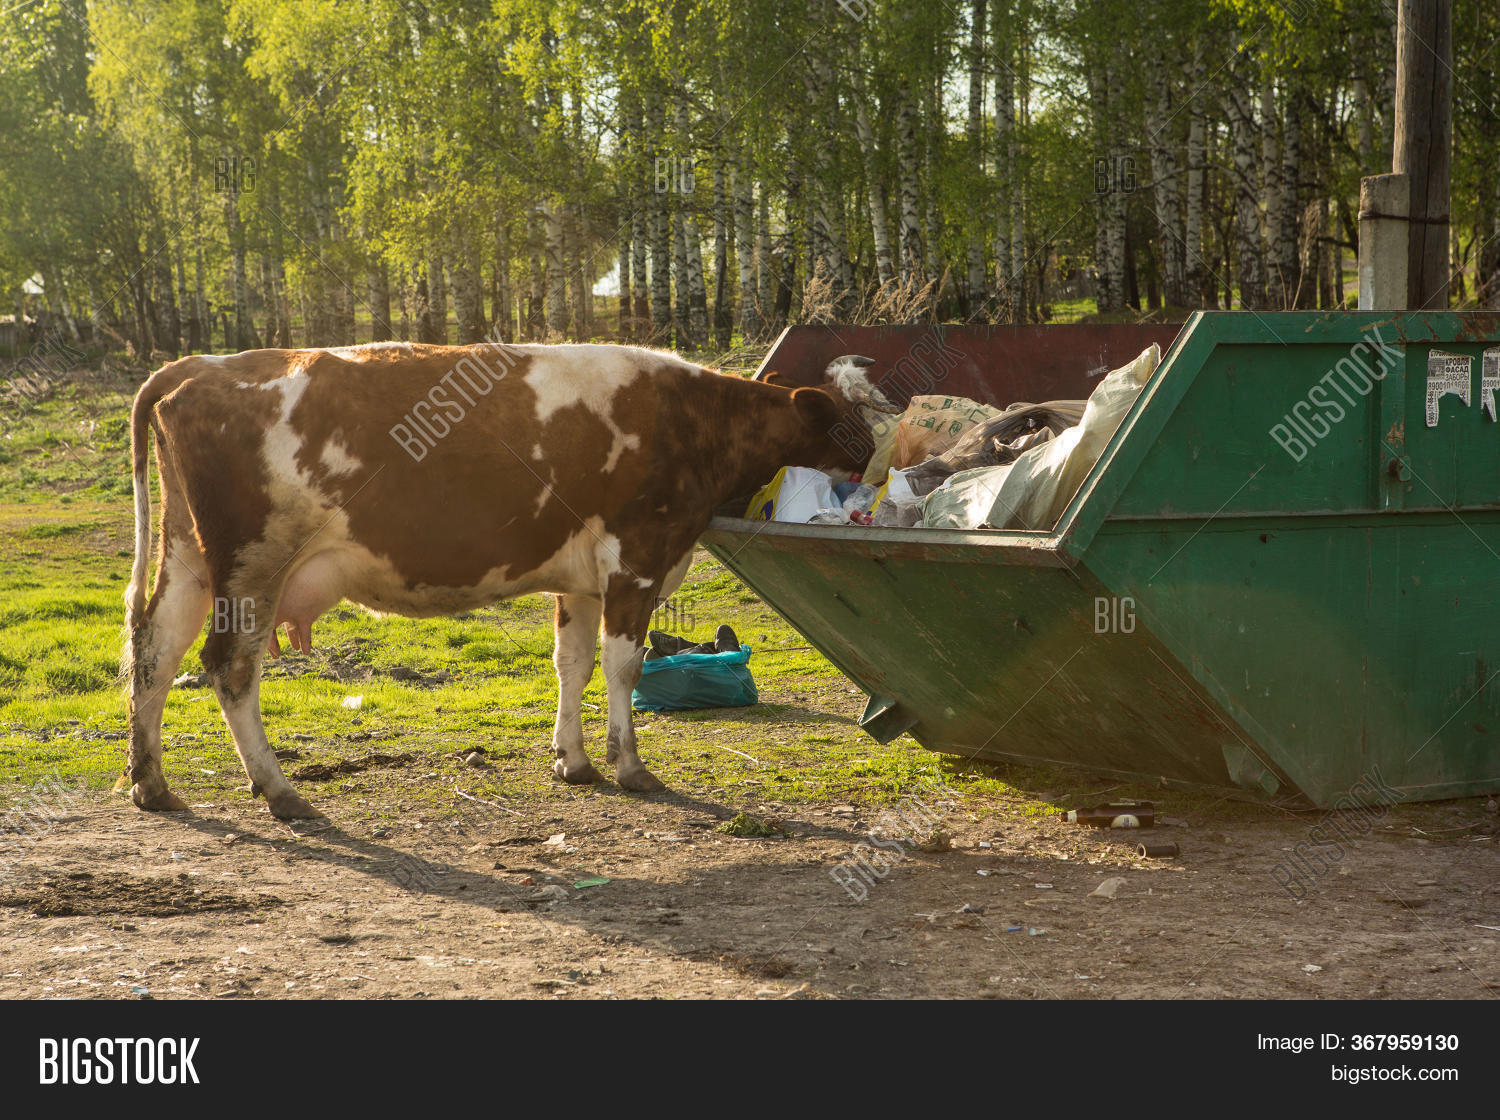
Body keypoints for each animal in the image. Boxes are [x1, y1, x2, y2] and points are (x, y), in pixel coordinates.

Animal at [122, 341, 895, 819]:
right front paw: (629, 765)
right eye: (854, 418)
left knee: (155, 652)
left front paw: (572, 760)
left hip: (188, 557)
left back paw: (152, 784)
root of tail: (198, 366)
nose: (883, 462)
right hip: (253, 562)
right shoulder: (637, 557)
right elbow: (622, 665)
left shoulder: (581, 578)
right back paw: (279, 790)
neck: (694, 421)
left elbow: (571, 663)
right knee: (228, 666)